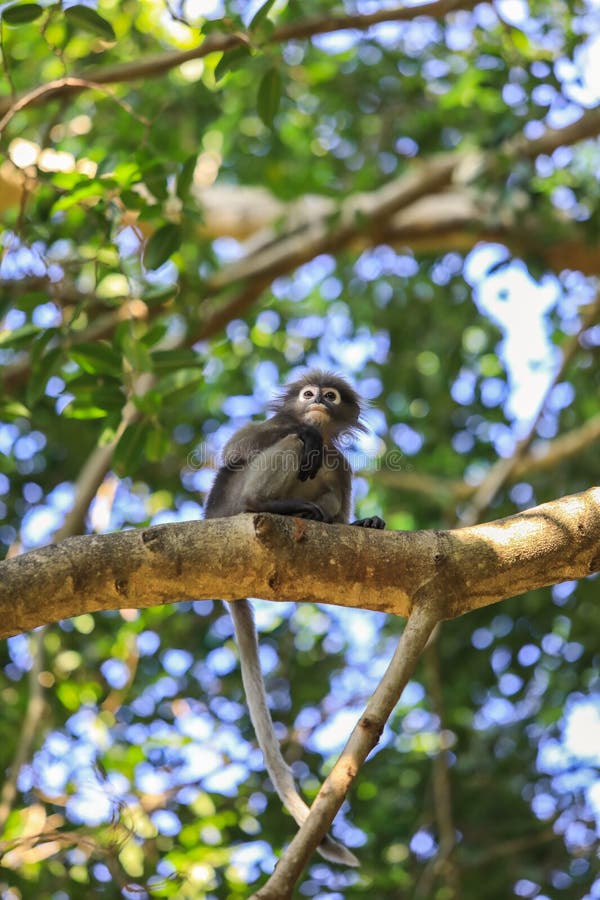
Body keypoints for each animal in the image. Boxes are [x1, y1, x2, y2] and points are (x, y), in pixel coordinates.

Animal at [204, 370, 385, 866]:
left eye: (331, 396)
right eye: (308, 395)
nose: (318, 400)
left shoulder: (345, 464)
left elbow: (339, 479)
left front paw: (361, 524)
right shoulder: (275, 425)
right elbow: (240, 448)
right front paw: (307, 432)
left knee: (326, 470)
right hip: (232, 505)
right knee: (292, 446)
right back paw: (268, 502)